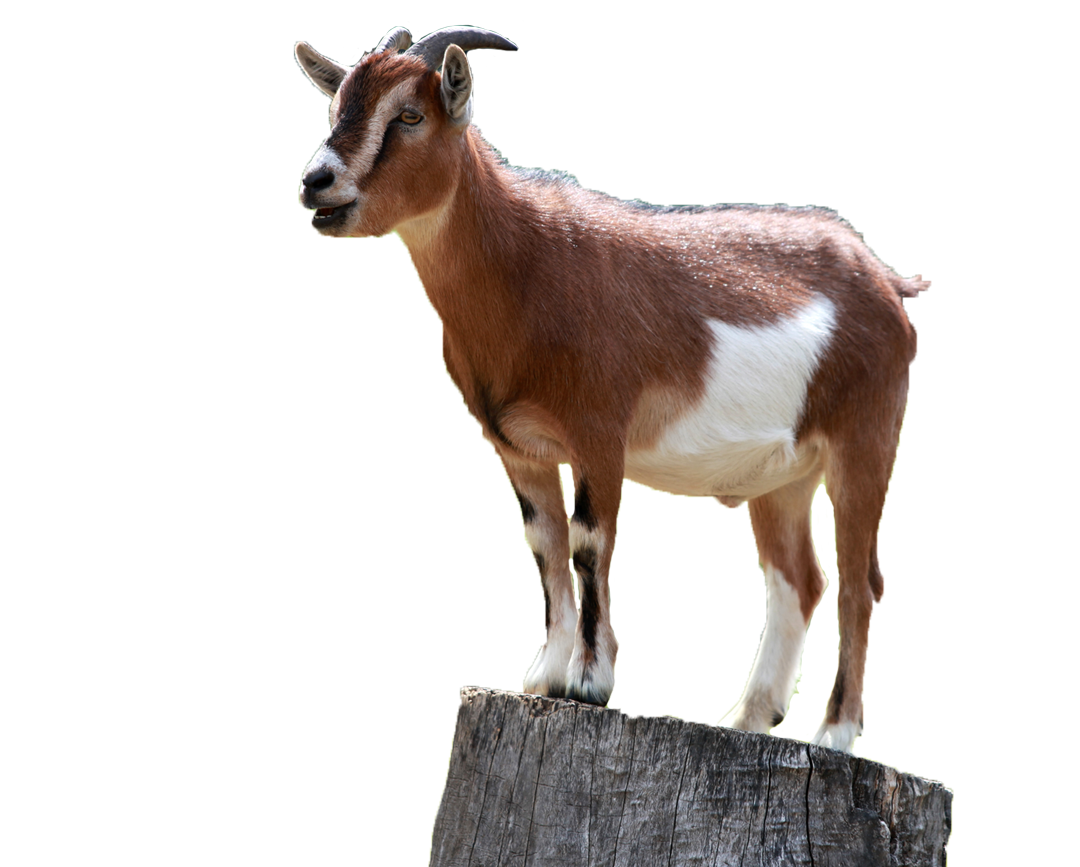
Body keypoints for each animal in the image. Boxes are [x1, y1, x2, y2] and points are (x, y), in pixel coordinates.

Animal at [294, 26, 921, 753]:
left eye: (410, 116)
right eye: (336, 104)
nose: (316, 183)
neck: (524, 264)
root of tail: (888, 281)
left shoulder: (599, 432)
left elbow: (589, 542)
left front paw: (589, 683)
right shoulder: (520, 447)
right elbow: (545, 543)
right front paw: (544, 677)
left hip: (864, 437)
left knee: (857, 583)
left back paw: (836, 733)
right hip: (784, 475)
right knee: (800, 579)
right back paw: (749, 716)